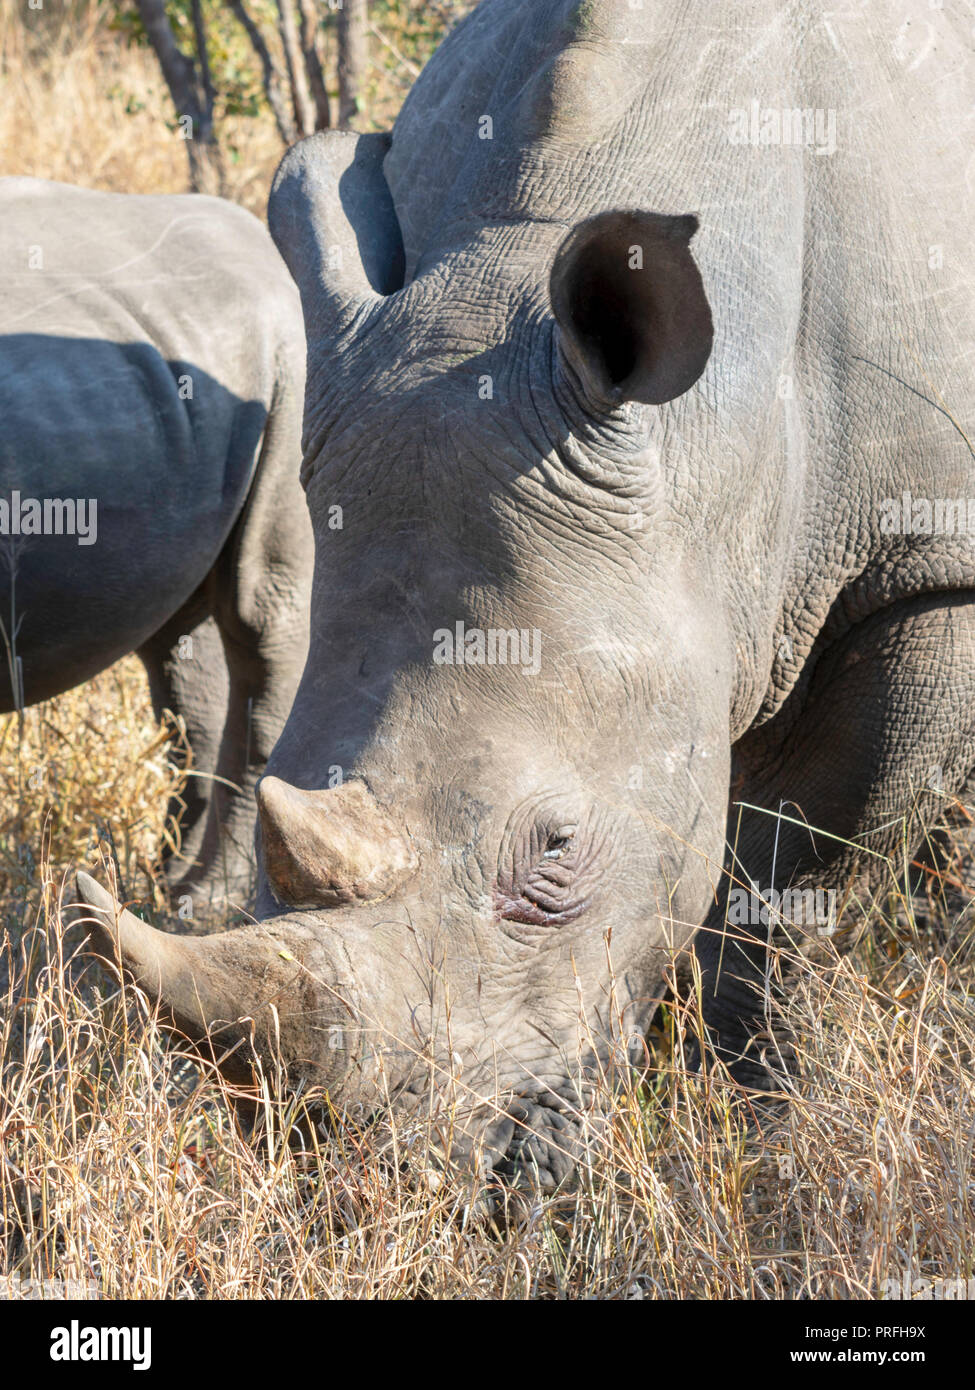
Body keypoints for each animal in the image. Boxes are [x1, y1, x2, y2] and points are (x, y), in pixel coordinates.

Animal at [78, 0, 975, 1190]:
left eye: (556, 848)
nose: (381, 1173)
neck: (712, 448)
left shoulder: (926, 566)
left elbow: (793, 881)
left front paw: (765, 1115)